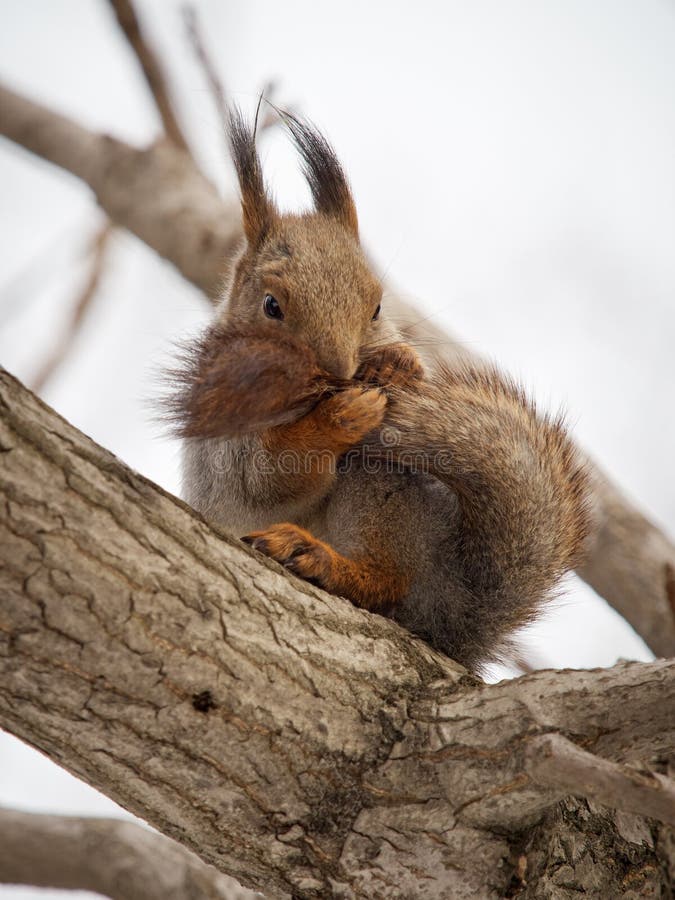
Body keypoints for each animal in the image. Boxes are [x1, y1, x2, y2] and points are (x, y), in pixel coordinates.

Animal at [170, 106, 590, 672]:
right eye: (271, 306)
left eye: (376, 307)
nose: (341, 372)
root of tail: (447, 608)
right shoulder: (225, 427)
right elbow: (268, 476)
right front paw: (340, 418)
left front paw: (399, 365)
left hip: (384, 494)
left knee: (389, 581)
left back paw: (325, 562)